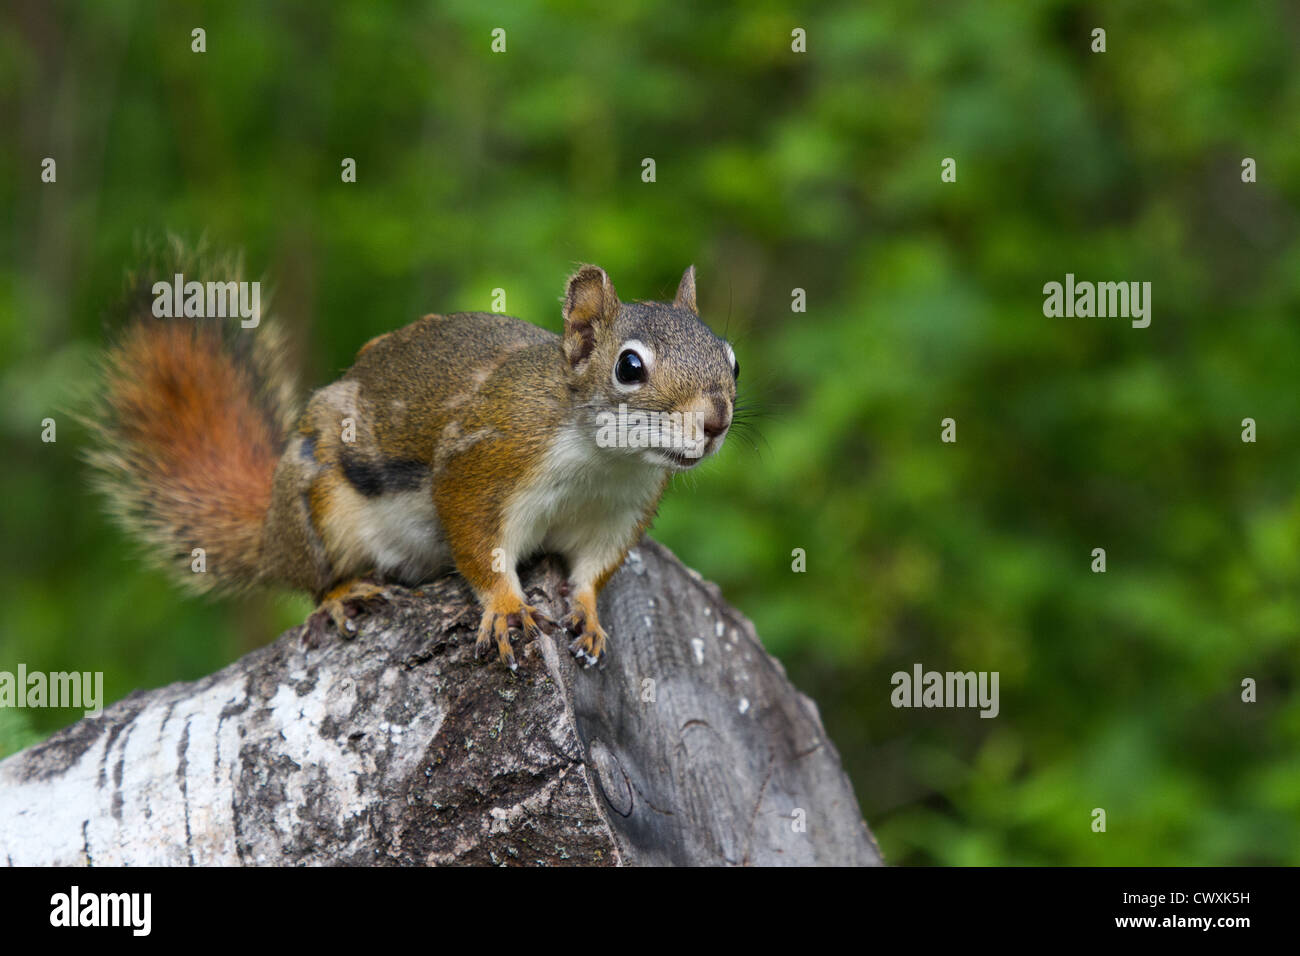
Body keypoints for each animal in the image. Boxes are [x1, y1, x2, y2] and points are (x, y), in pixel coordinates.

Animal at [86, 243, 737, 670]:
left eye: (731, 358)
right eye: (629, 366)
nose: (716, 422)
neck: (606, 461)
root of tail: (270, 533)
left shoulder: (618, 514)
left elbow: (592, 571)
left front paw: (589, 614)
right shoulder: (485, 463)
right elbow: (477, 542)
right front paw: (506, 606)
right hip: (317, 512)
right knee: (310, 581)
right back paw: (341, 595)